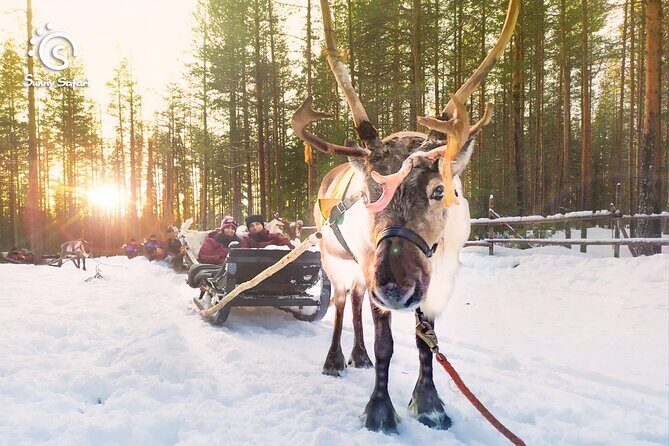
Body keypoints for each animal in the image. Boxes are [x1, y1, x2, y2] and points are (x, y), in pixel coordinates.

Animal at [291, 0, 519, 434]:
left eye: (440, 190)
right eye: (368, 194)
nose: (396, 288)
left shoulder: (438, 281)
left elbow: (424, 343)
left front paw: (430, 405)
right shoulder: (372, 270)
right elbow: (387, 345)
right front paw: (380, 411)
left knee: (357, 302)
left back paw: (358, 355)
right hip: (337, 262)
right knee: (342, 304)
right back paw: (335, 360)